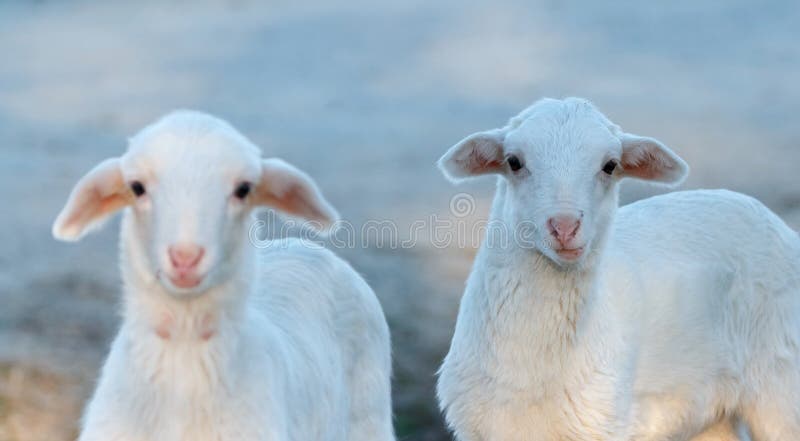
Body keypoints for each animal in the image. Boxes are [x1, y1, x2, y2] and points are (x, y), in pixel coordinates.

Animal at [436, 97, 800, 441]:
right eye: (513, 161)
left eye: (610, 166)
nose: (565, 226)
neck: (529, 372)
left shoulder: (604, 421)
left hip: (783, 383)